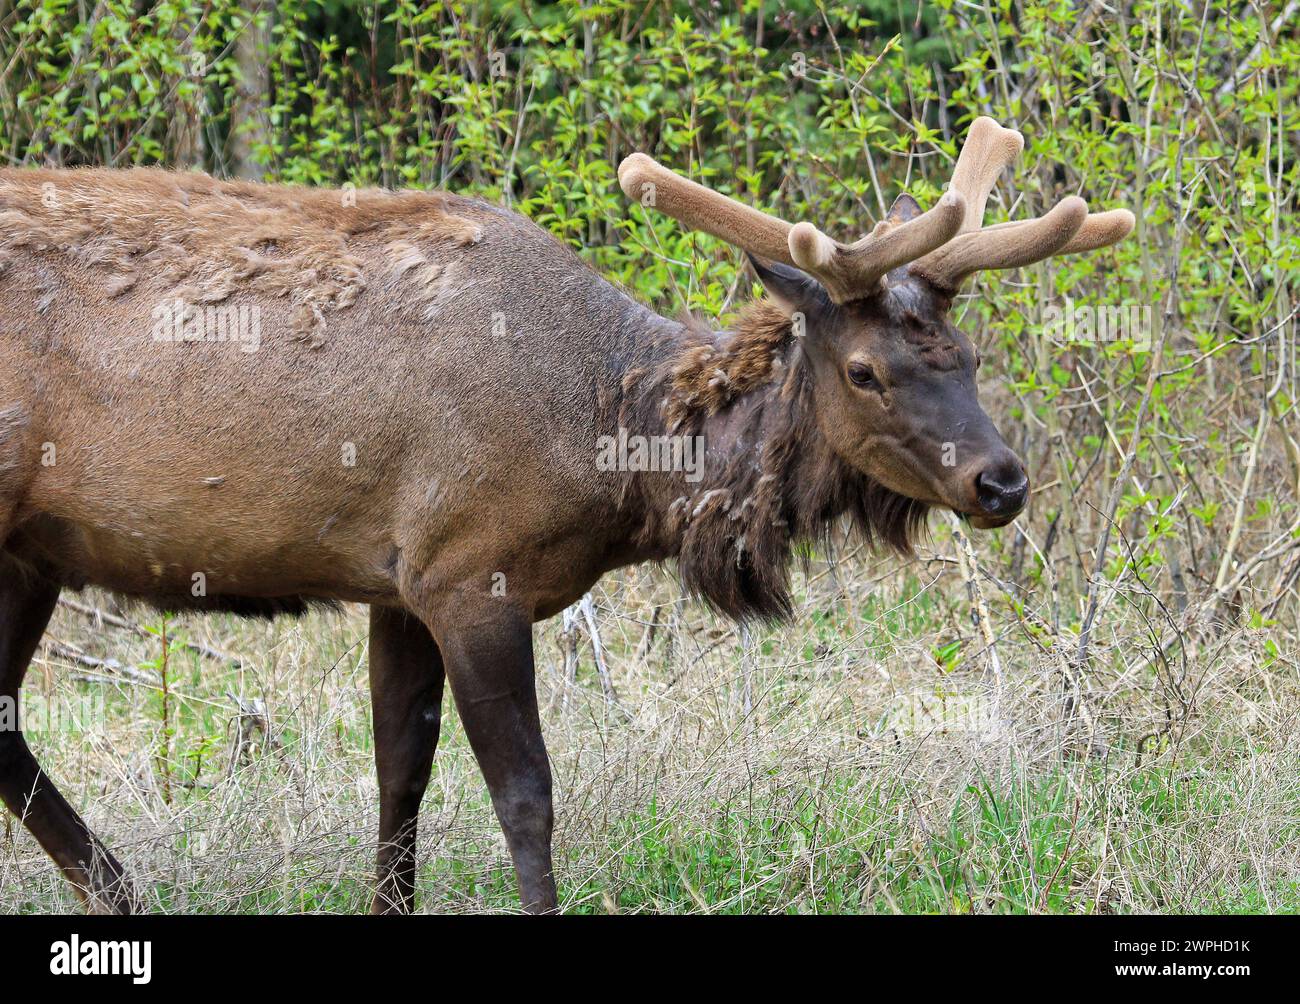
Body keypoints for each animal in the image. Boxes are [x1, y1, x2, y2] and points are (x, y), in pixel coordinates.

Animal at [0, 117, 1132, 914]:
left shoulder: (398, 581)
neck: (611, 446)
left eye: (966, 357)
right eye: (865, 370)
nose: (1001, 482)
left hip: (33, 554)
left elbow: (399, 779)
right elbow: (525, 795)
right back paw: (121, 890)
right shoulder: (469, 572)